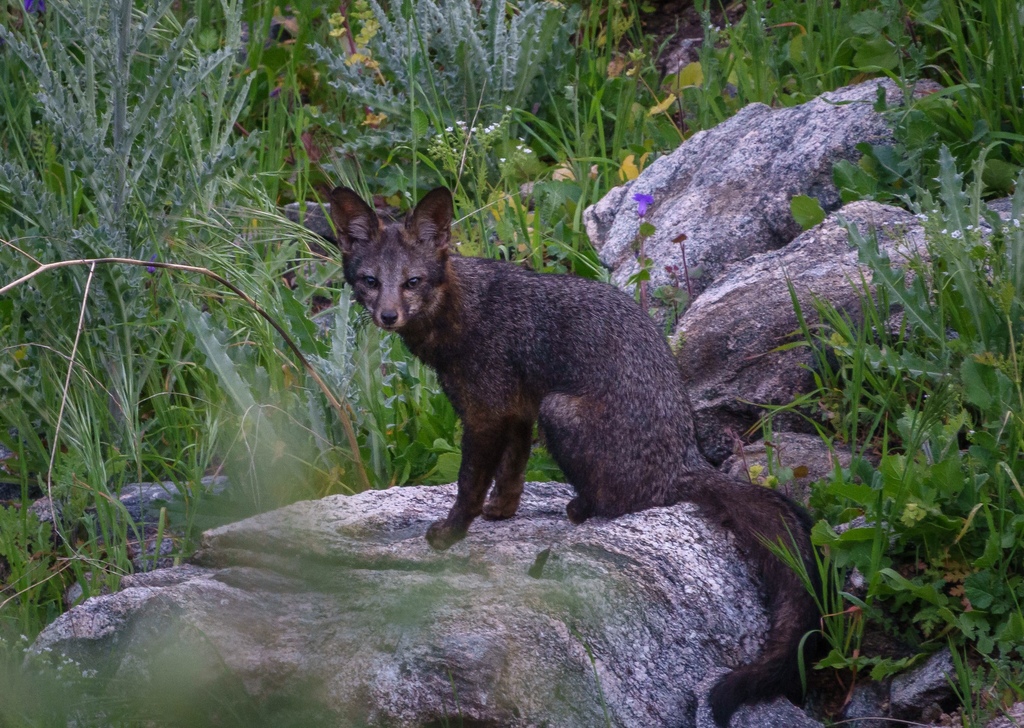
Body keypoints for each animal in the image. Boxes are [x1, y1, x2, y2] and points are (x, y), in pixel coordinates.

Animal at [326, 185, 821, 727]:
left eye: (412, 281)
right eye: (371, 281)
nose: (388, 316)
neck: (460, 310)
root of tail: (684, 462)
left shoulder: (487, 412)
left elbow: (469, 483)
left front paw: (451, 533)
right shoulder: (517, 410)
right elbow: (512, 473)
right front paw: (502, 512)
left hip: (559, 410)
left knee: (619, 501)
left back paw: (581, 508)